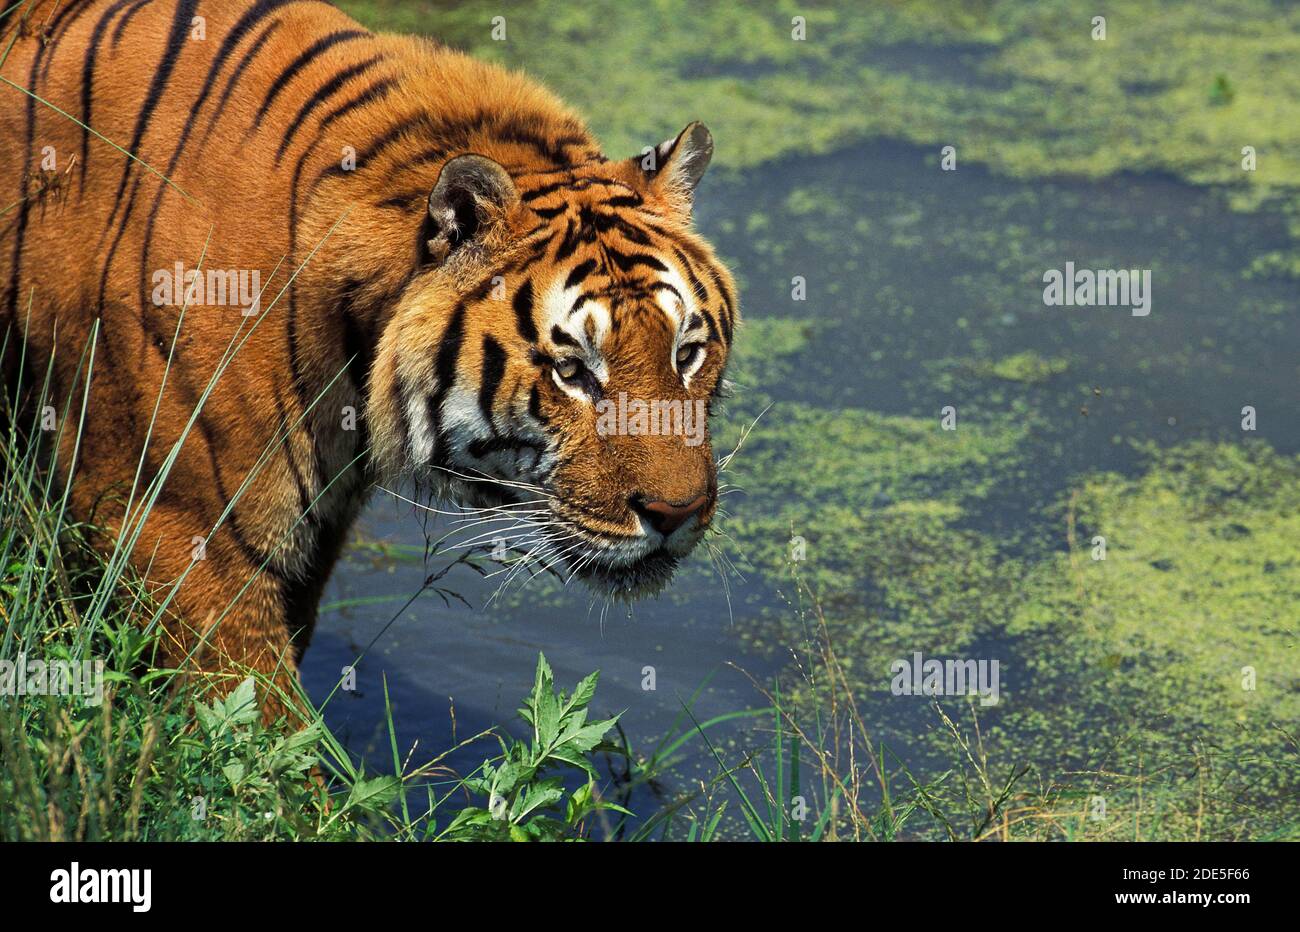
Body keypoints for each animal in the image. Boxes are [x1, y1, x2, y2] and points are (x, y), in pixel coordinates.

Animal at [0, 0, 738, 721]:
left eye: (687, 353)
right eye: (574, 371)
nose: (678, 515)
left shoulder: (313, 533)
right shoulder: (172, 523)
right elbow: (257, 724)